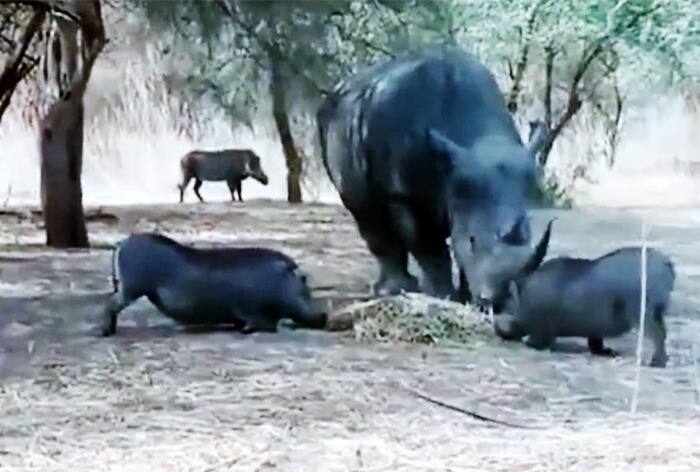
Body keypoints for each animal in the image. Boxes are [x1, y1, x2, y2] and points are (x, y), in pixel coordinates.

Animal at [317, 47, 546, 308]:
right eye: (473, 240)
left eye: (528, 237)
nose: (498, 301)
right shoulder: (403, 194)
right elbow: (429, 247)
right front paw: (443, 296)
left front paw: (467, 298)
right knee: (365, 212)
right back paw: (394, 290)